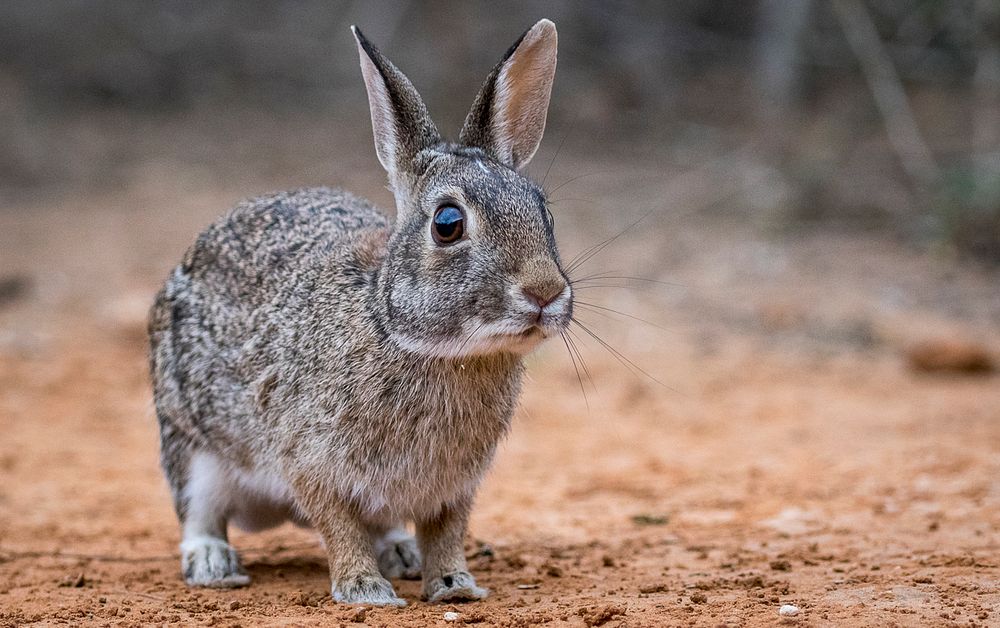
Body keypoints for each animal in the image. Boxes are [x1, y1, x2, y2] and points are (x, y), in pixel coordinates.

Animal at [148, 19, 568, 607]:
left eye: (543, 211)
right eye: (447, 223)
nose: (546, 292)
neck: (399, 331)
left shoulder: (456, 486)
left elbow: (447, 531)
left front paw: (454, 586)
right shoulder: (312, 459)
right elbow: (339, 525)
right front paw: (364, 590)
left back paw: (401, 554)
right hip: (191, 444)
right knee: (199, 511)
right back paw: (214, 564)